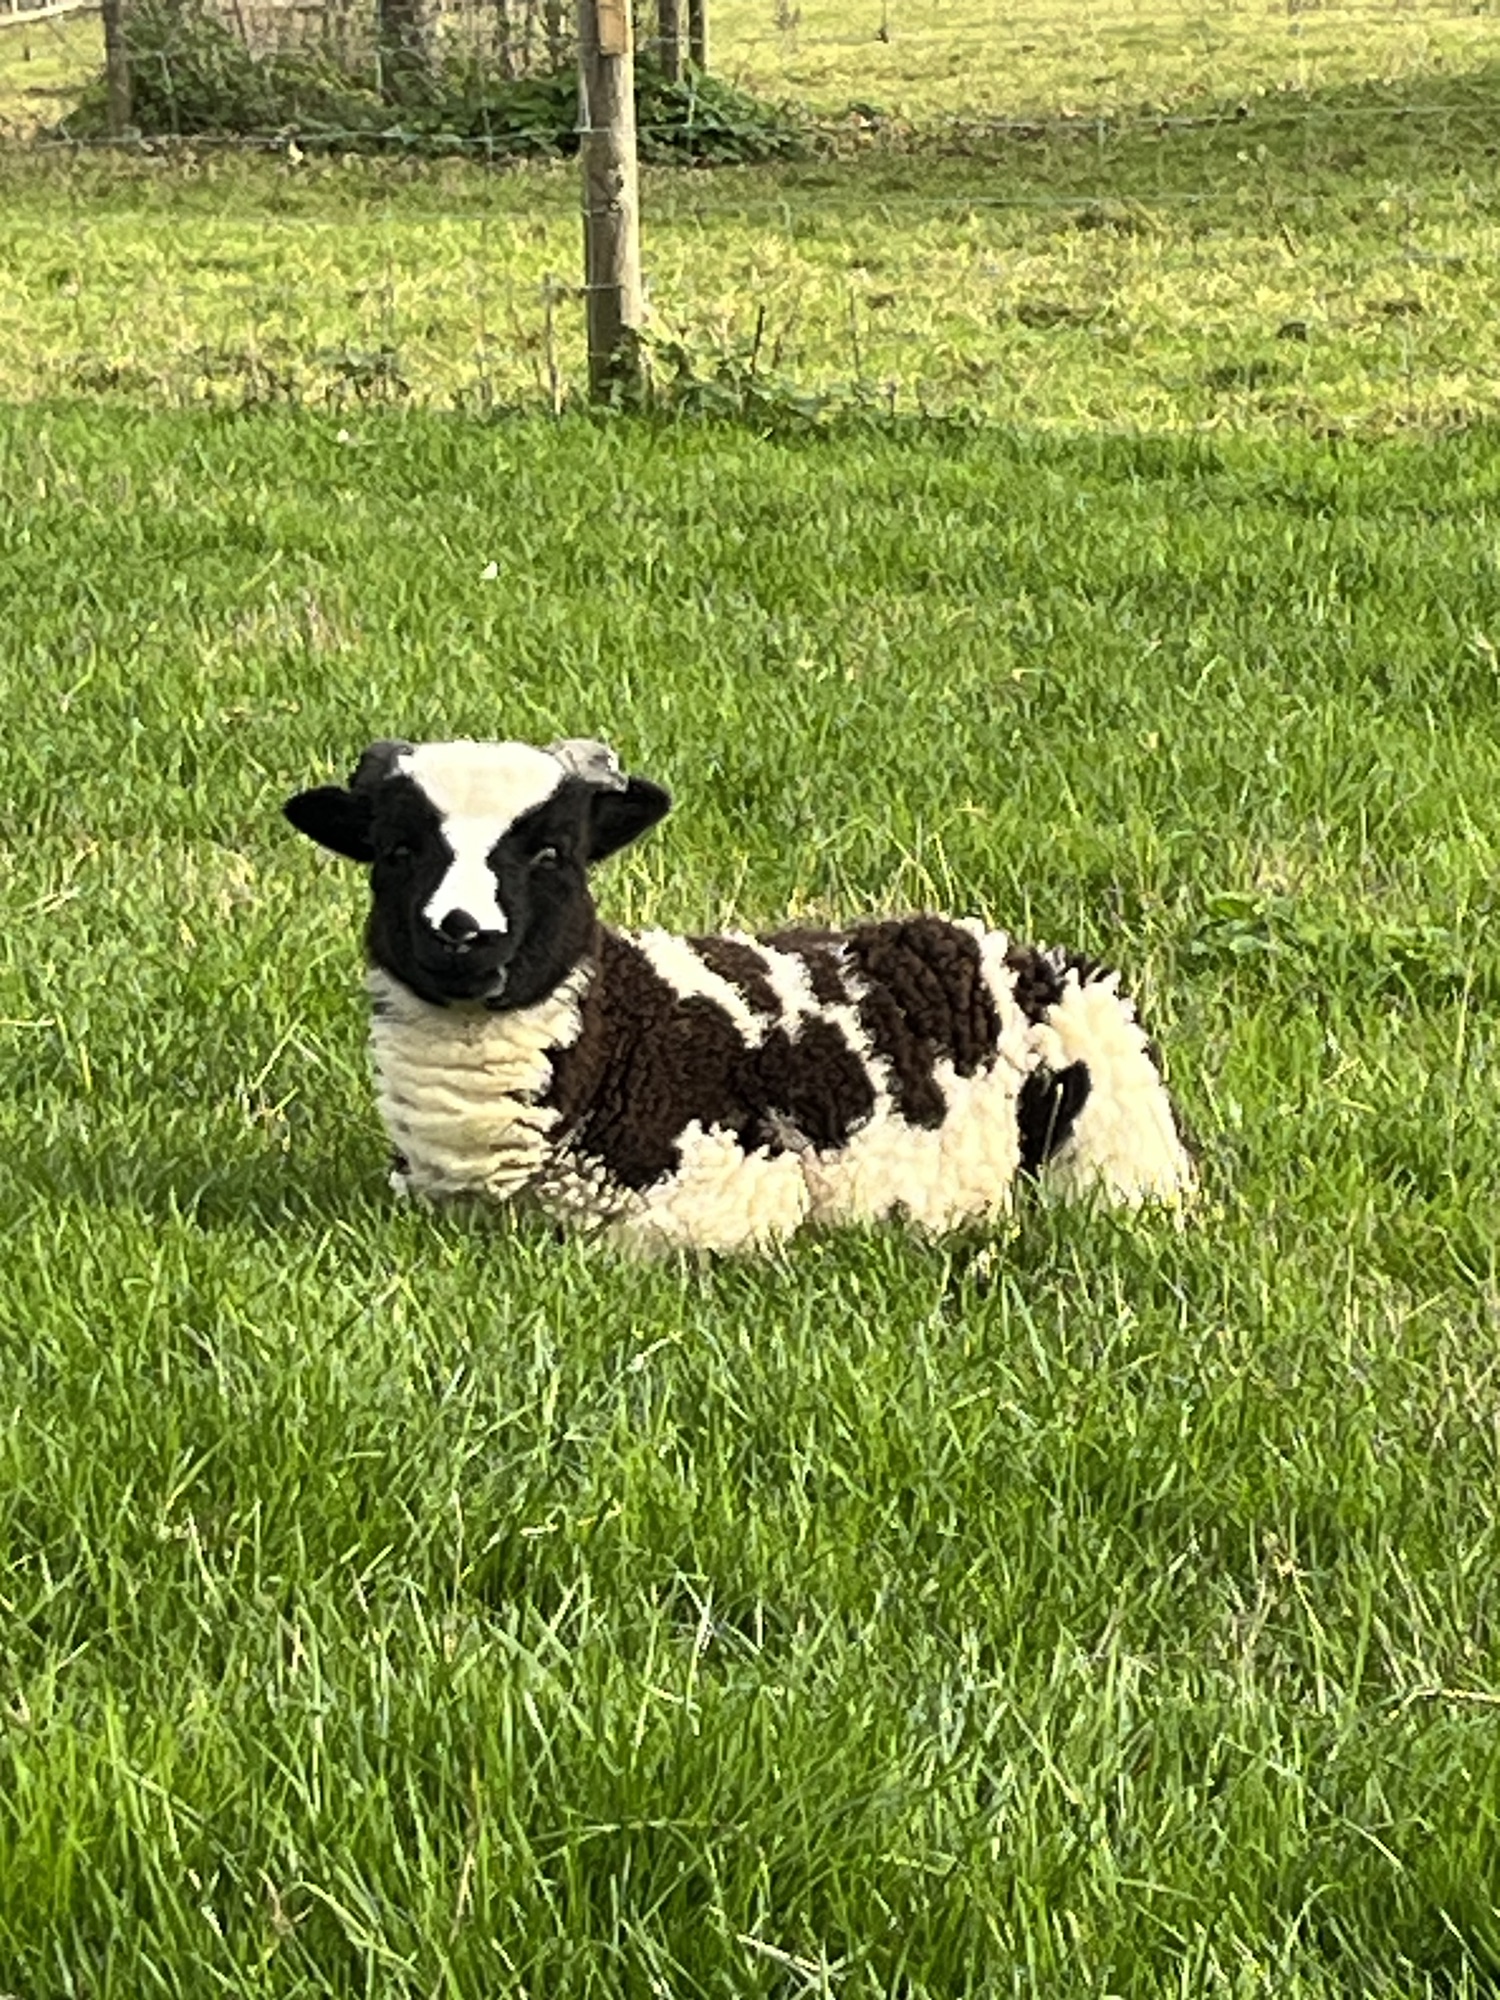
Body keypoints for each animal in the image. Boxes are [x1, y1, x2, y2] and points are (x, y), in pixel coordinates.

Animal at [282, 736, 1194, 1254]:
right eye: (395, 851)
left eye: (552, 853)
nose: (462, 935)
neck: (618, 1035)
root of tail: (1006, 945)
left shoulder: (732, 1194)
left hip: (1116, 1155)